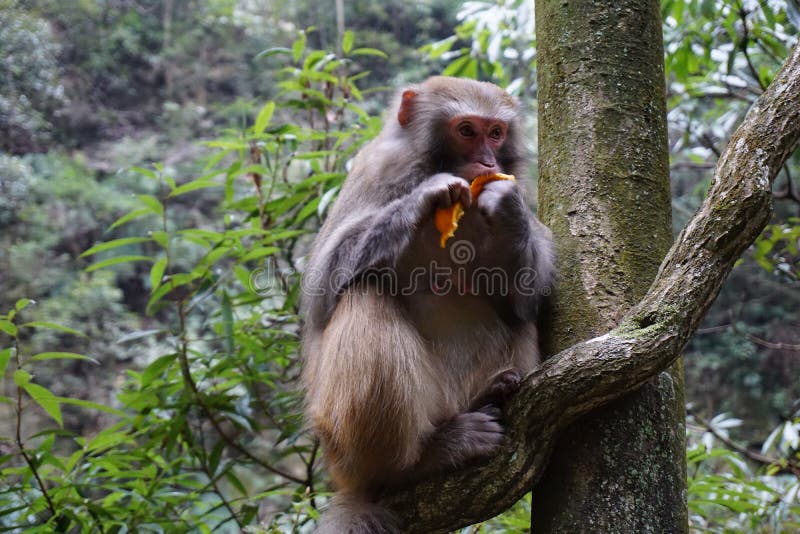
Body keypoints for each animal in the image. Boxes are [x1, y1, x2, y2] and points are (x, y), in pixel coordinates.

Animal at [300, 76, 555, 533]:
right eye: (466, 130)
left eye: (496, 132)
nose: (487, 161)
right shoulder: (376, 169)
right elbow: (320, 290)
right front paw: (425, 196)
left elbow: (524, 301)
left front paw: (507, 208)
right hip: (342, 446)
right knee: (365, 292)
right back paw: (418, 461)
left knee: (519, 320)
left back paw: (488, 396)